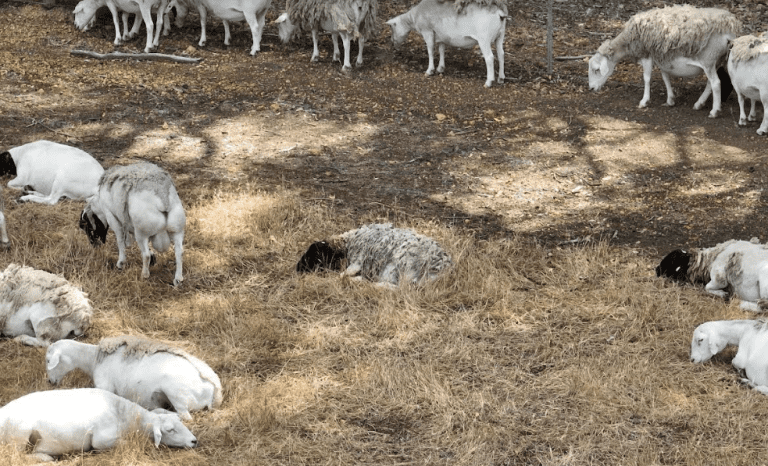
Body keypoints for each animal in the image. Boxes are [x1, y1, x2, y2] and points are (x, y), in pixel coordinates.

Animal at [0, 388, 196, 462]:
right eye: (170, 430)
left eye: (180, 423)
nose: (194, 441)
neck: (123, 415)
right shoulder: (101, 440)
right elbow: (122, 444)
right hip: (20, 436)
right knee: (18, 456)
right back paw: (47, 458)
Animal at [46, 335, 222, 420]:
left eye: (48, 361)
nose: (49, 382)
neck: (93, 358)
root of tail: (214, 390)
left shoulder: (105, 386)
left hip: (176, 392)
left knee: (185, 417)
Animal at [296, 223, 452, 286]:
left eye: (316, 255)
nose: (298, 269)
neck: (349, 241)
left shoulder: (358, 259)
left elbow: (343, 275)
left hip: (402, 265)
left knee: (398, 289)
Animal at [588, 5, 741, 118]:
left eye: (596, 70)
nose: (591, 88)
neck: (628, 40)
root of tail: (730, 28)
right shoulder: (662, 57)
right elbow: (665, 76)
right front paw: (670, 99)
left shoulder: (647, 54)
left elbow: (647, 78)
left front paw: (644, 101)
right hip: (716, 61)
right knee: (711, 83)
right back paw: (699, 104)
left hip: (708, 59)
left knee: (716, 83)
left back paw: (714, 111)